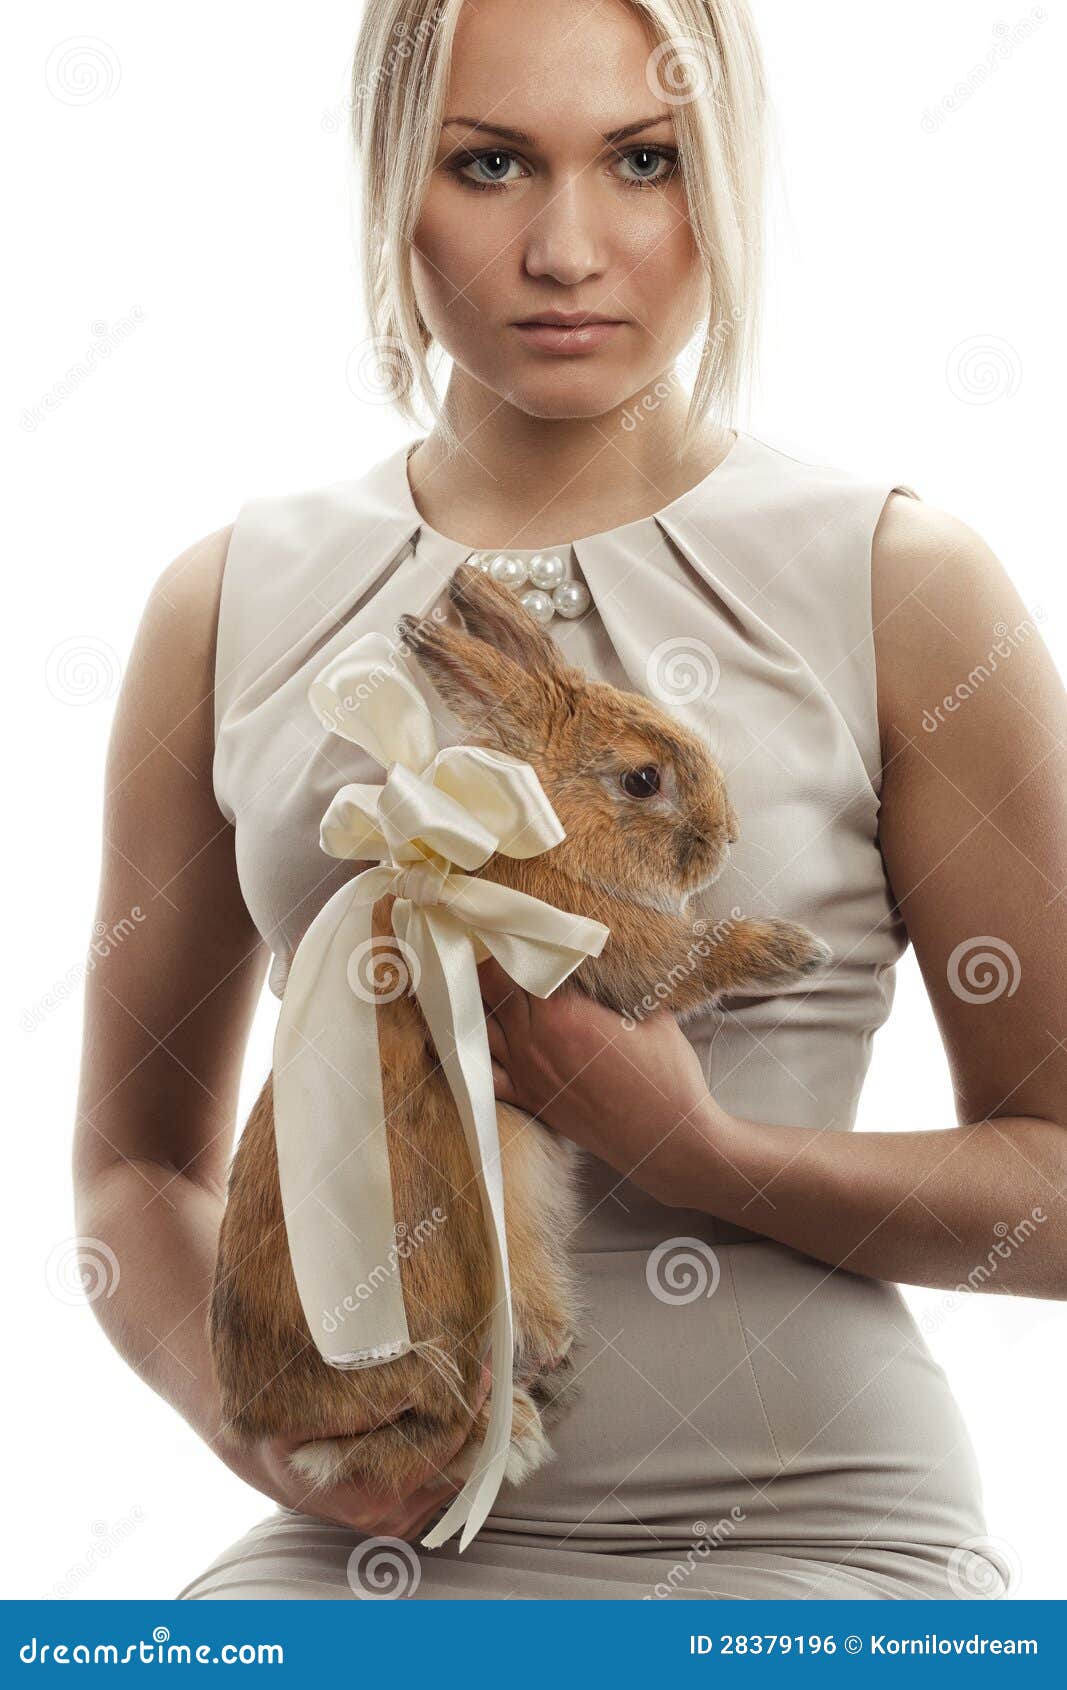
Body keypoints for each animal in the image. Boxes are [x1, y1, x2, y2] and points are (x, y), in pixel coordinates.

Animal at [208, 561, 832, 1504]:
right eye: (642, 781)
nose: (725, 840)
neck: (540, 840)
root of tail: (259, 1416)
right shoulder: (619, 950)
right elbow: (690, 958)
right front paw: (794, 950)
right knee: (399, 1436)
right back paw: (520, 1436)